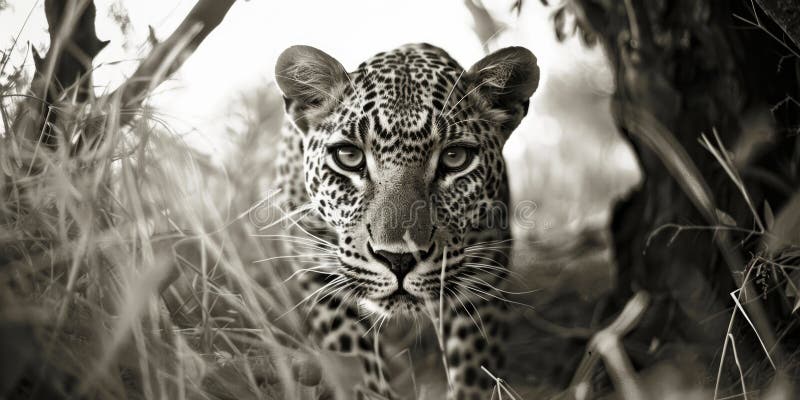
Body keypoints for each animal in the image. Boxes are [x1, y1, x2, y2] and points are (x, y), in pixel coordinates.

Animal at [272, 42, 539, 399]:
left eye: (455, 158)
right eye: (349, 156)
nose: (398, 259)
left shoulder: (481, 276)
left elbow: (474, 370)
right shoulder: (317, 270)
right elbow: (352, 358)